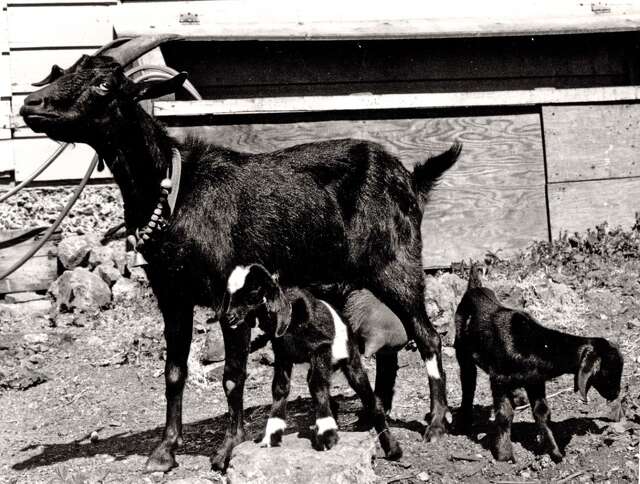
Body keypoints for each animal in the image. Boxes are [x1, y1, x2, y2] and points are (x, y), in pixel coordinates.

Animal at [222, 263, 403, 459]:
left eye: (253, 293)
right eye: (230, 295)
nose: (229, 317)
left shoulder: (321, 347)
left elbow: (316, 384)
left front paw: (327, 435)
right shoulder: (282, 354)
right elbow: (280, 387)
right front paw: (271, 435)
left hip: (350, 360)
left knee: (368, 396)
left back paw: (392, 448)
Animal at [454, 264, 623, 463]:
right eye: (609, 372)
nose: (616, 393)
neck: (535, 344)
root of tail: (474, 288)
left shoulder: (535, 380)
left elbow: (542, 412)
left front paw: (556, 453)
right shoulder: (498, 378)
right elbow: (504, 413)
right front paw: (504, 454)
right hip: (462, 350)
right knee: (468, 382)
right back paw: (464, 422)